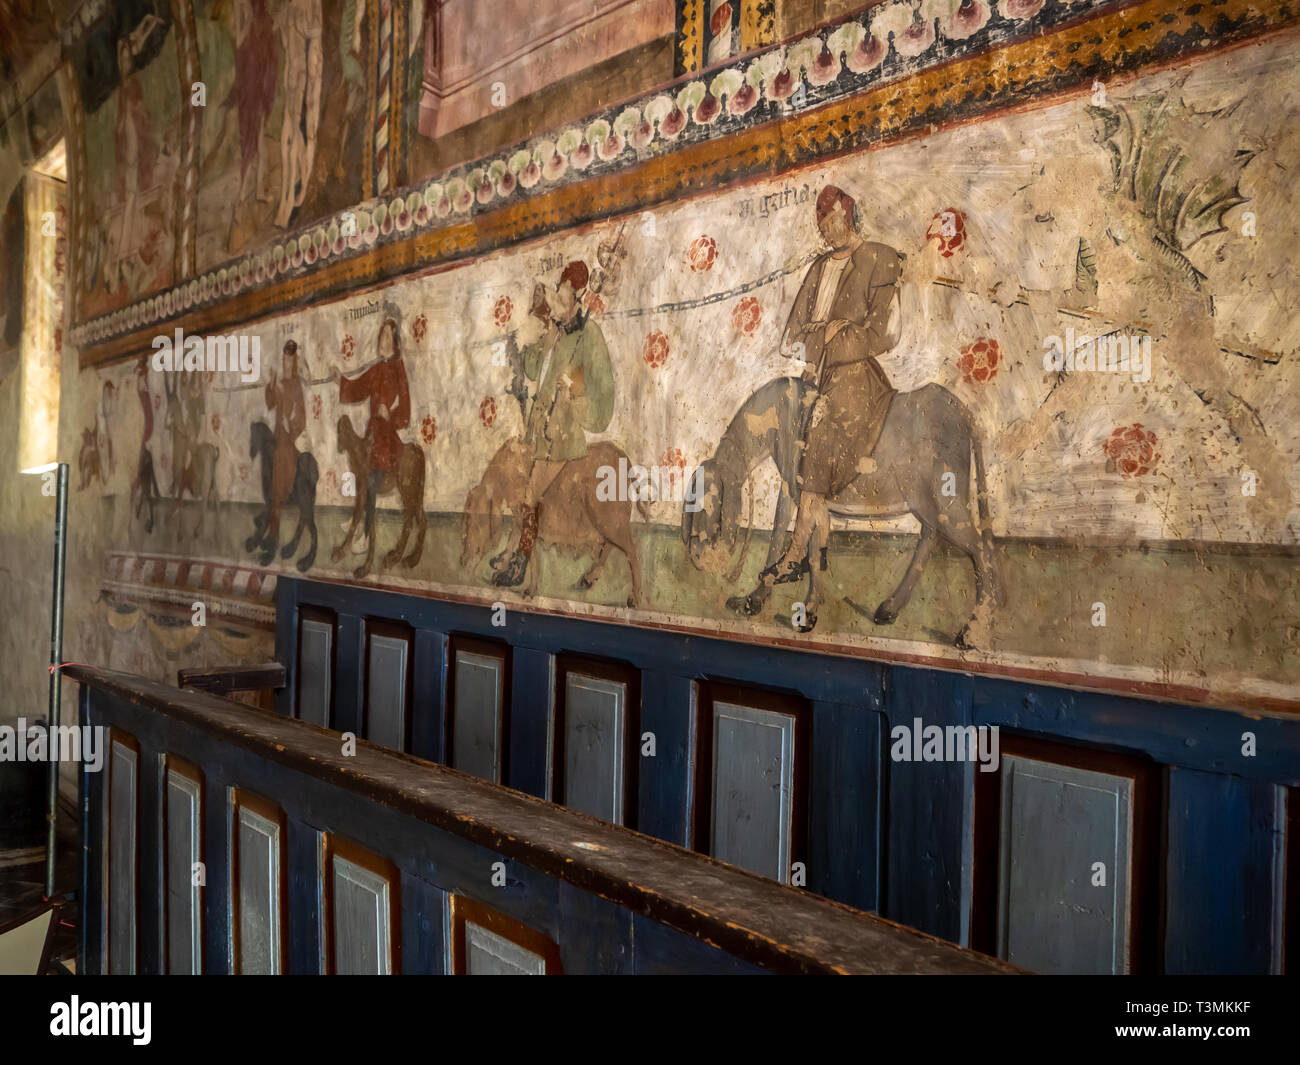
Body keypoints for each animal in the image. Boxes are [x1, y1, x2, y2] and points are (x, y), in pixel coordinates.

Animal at [248, 418, 319, 574]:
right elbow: (265, 521)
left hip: (305, 503)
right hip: (304, 503)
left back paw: (304, 561)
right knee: (303, 522)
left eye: (253, 436)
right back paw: (290, 550)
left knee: (311, 528)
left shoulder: (274, 502)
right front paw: (260, 542)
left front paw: (266, 553)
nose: (251, 453)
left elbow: (271, 526)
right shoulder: (270, 502)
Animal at [330, 416, 426, 582]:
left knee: (412, 520)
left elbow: (357, 519)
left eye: (338, 431)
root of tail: (416, 450)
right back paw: (404, 558)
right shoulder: (368, 493)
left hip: (407, 488)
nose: (338, 446)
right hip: (415, 490)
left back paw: (402, 559)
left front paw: (347, 557)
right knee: (417, 519)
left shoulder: (364, 491)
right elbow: (370, 525)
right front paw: (365, 566)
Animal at [462, 436, 650, 608]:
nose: (464, 560)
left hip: (607, 516)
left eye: (477, 521)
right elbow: (513, 541)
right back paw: (588, 579)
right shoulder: (518, 516)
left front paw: (529, 591)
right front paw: (503, 574)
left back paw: (635, 599)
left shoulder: (527, 511)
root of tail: (624, 459)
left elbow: (528, 550)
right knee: (610, 544)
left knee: (630, 551)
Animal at [686, 379, 998, 652]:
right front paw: (769, 602)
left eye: (705, 505)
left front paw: (790, 605)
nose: (699, 559)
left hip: (944, 495)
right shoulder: (801, 491)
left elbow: (795, 540)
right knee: (930, 538)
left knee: (980, 549)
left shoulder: (804, 482)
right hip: (924, 499)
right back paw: (889, 610)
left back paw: (972, 634)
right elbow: (799, 540)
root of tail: (962, 410)